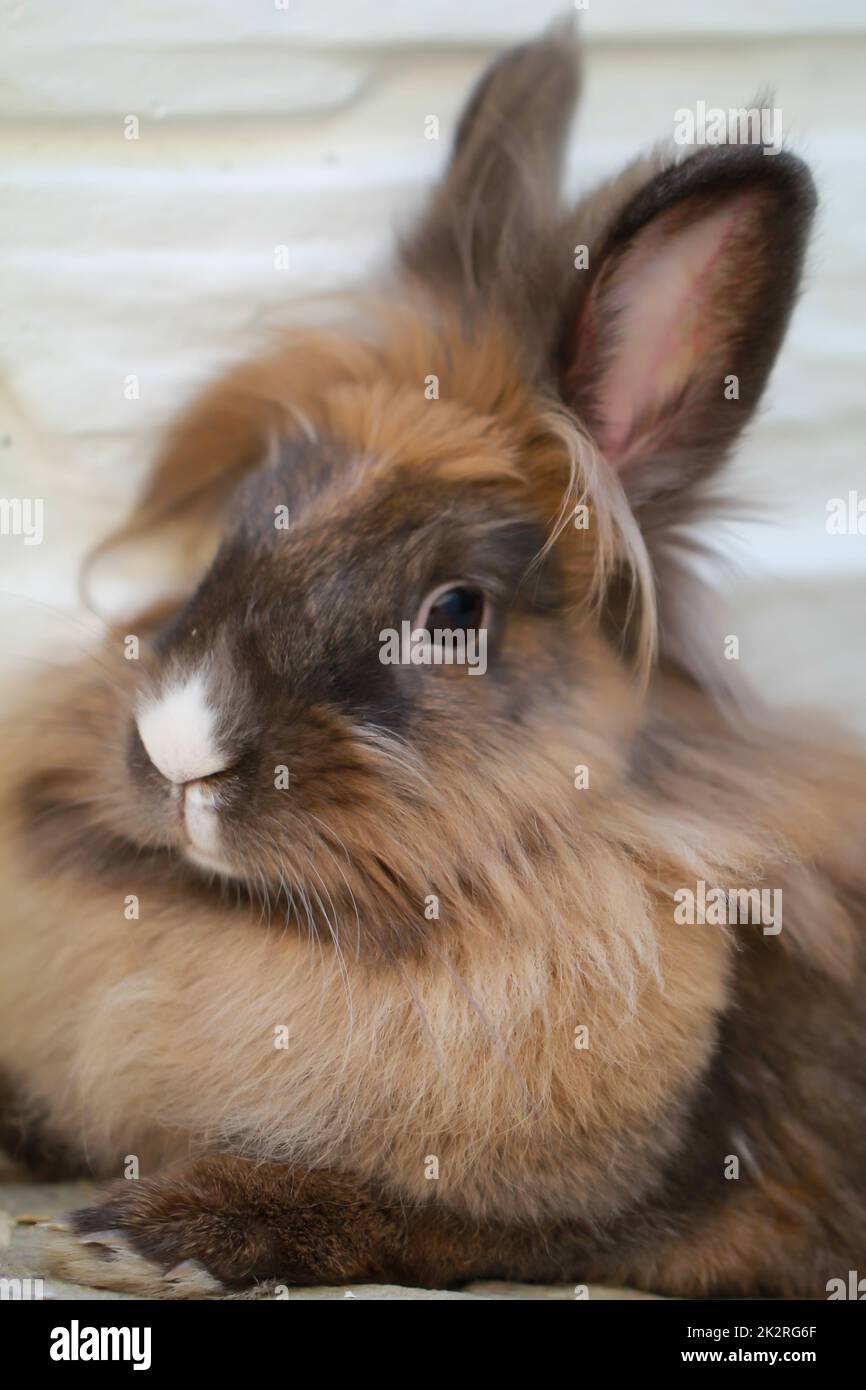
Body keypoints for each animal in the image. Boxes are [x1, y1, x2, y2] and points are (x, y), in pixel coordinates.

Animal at [1, 23, 864, 1299]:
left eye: (454, 610)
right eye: (245, 519)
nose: (176, 746)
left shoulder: (596, 1222)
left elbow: (387, 1207)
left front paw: (140, 1235)